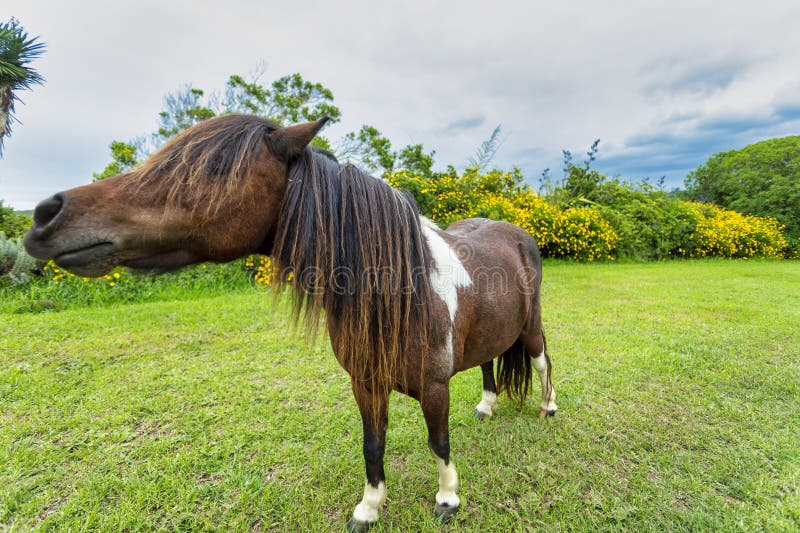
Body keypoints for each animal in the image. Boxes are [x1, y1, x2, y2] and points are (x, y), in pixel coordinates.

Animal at [24, 114, 557, 531]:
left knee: (542, 361)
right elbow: (372, 446)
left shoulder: (433, 386)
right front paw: (368, 509)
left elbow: (438, 441)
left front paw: (447, 499)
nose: (47, 215)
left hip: (529, 326)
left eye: (212, 168)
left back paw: (549, 407)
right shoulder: (365, 383)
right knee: (489, 363)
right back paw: (486, 407)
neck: (404, 287)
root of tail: (517, 233)